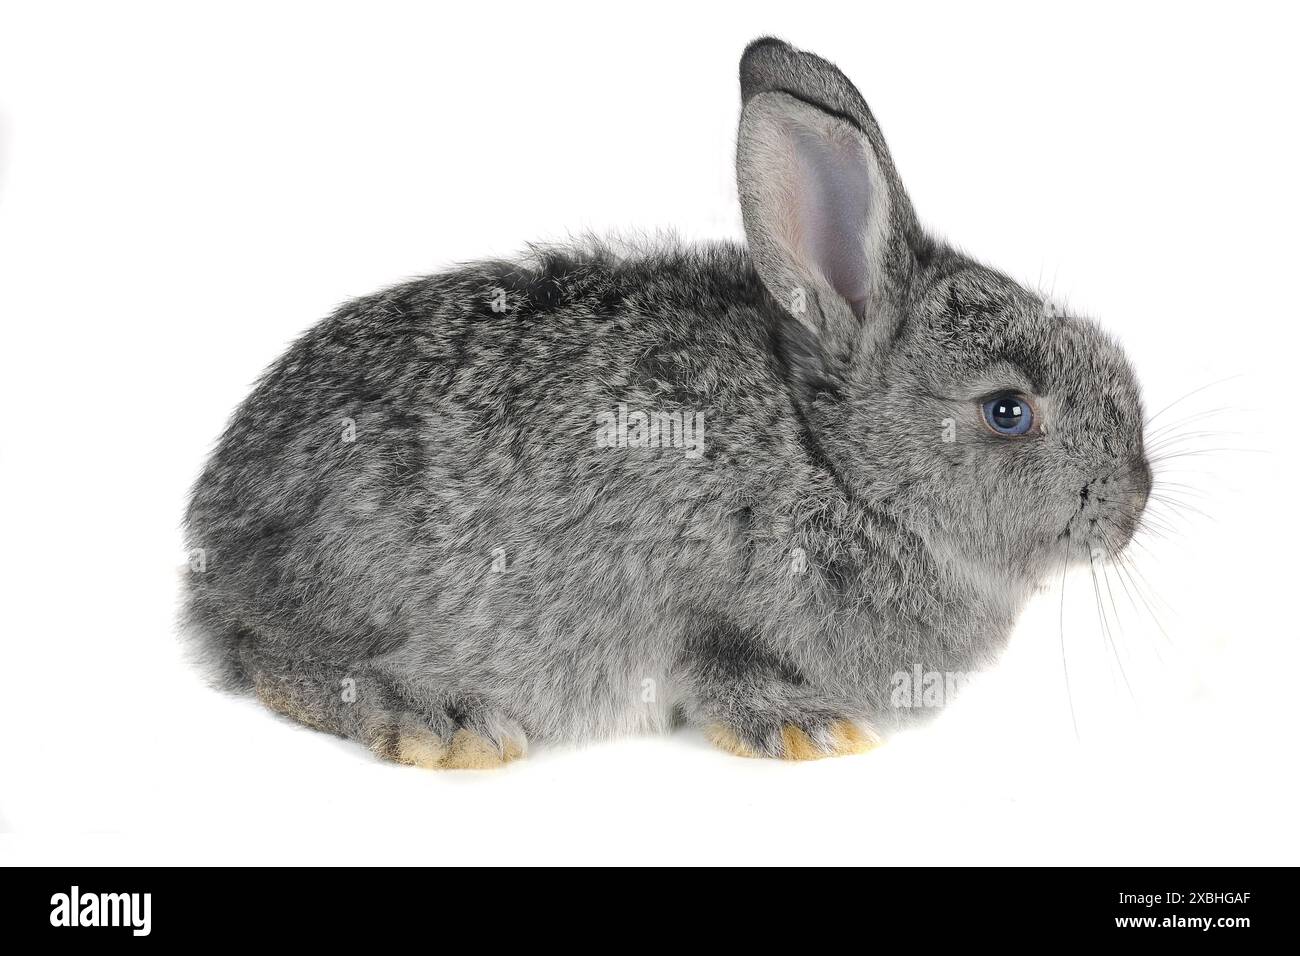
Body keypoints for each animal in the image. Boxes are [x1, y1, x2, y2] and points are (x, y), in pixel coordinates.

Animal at [182, 37, 1152, 768]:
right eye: (1008, 411)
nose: (1133, 504)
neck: (837, 464)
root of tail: (211, 543)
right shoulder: (711, 605)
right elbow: (724, 669)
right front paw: (807, 730)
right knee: (278, 662)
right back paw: (443, 723)